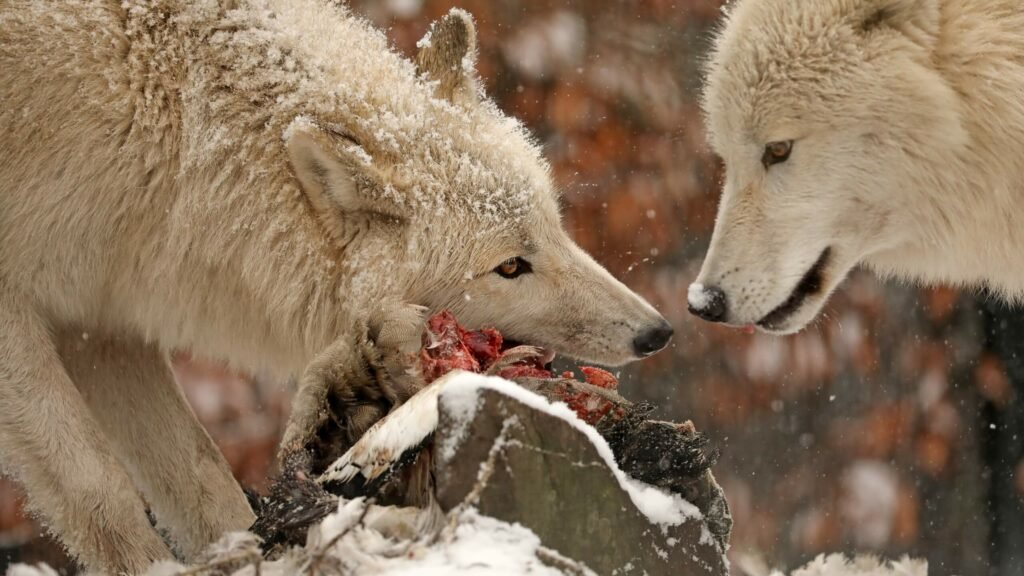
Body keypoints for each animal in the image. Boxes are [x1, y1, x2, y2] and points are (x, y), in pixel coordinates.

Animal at [0, 1, 673, 572]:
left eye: (555, 228)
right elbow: (100, 486)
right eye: (510, 267)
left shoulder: (103, 322)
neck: (170, 132)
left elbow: (201, 474)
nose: (657, 333)